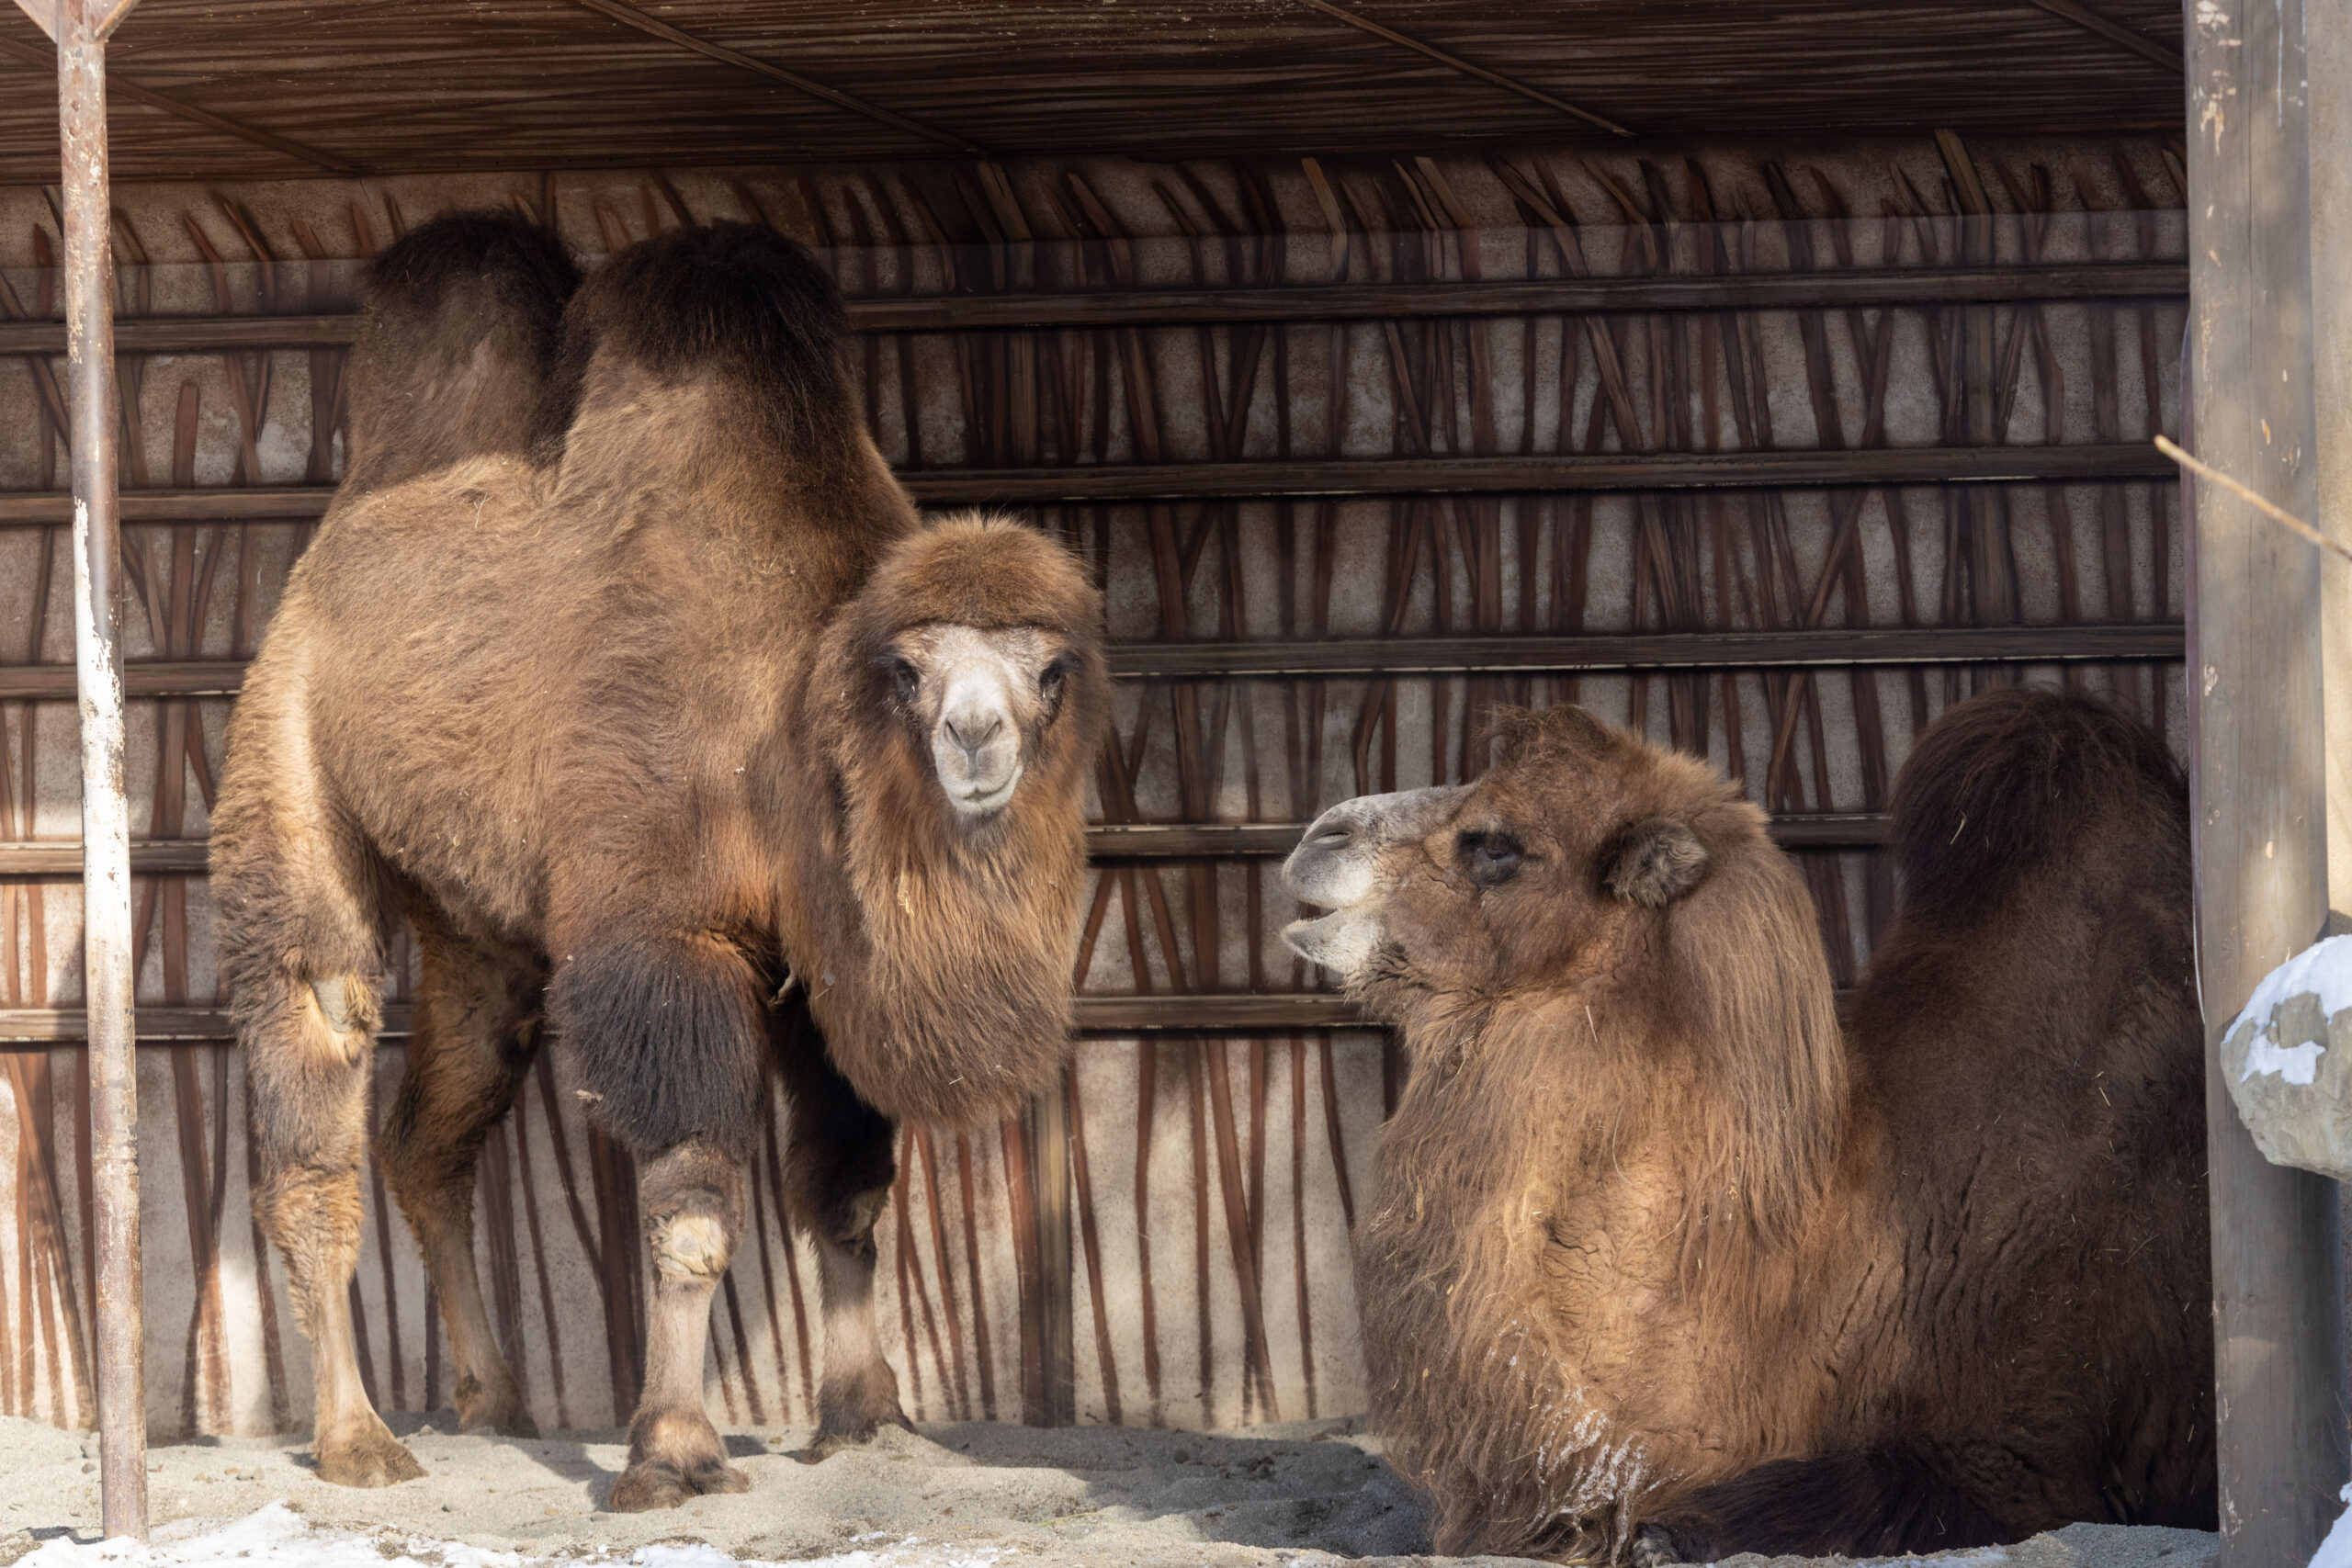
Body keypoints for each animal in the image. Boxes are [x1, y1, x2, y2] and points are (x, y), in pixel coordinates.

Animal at [211, 214, 1110, 1511]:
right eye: (908, 669)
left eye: (1050, 669)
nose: (977, 737)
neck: (791, 708)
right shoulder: (663, 934)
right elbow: (692, 1206)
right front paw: (674, 1451)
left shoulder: (821, 968)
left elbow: (846, 1193)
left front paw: (862, 1418)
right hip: (283, 744)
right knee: (316, 1053)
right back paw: (358, 1438)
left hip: (479, 931)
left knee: (431, 1131)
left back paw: (497, 1399)